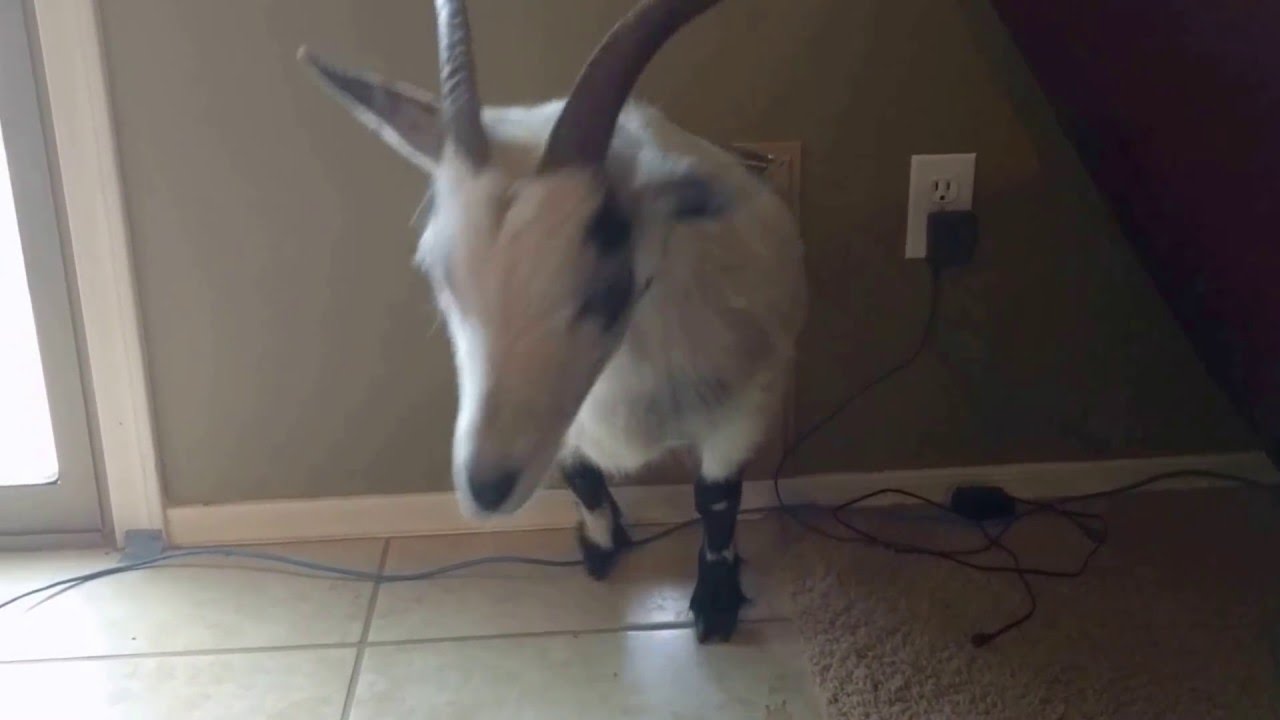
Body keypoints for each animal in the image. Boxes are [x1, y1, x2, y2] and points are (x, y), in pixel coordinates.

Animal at [299, 0, 805, 642]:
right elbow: (582, 477)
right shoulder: (561, 426)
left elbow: (716, 499)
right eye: (439, 274)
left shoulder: (741, 409)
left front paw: (716, 604)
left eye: (604, 284)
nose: (485, 488)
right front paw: (602, 544)